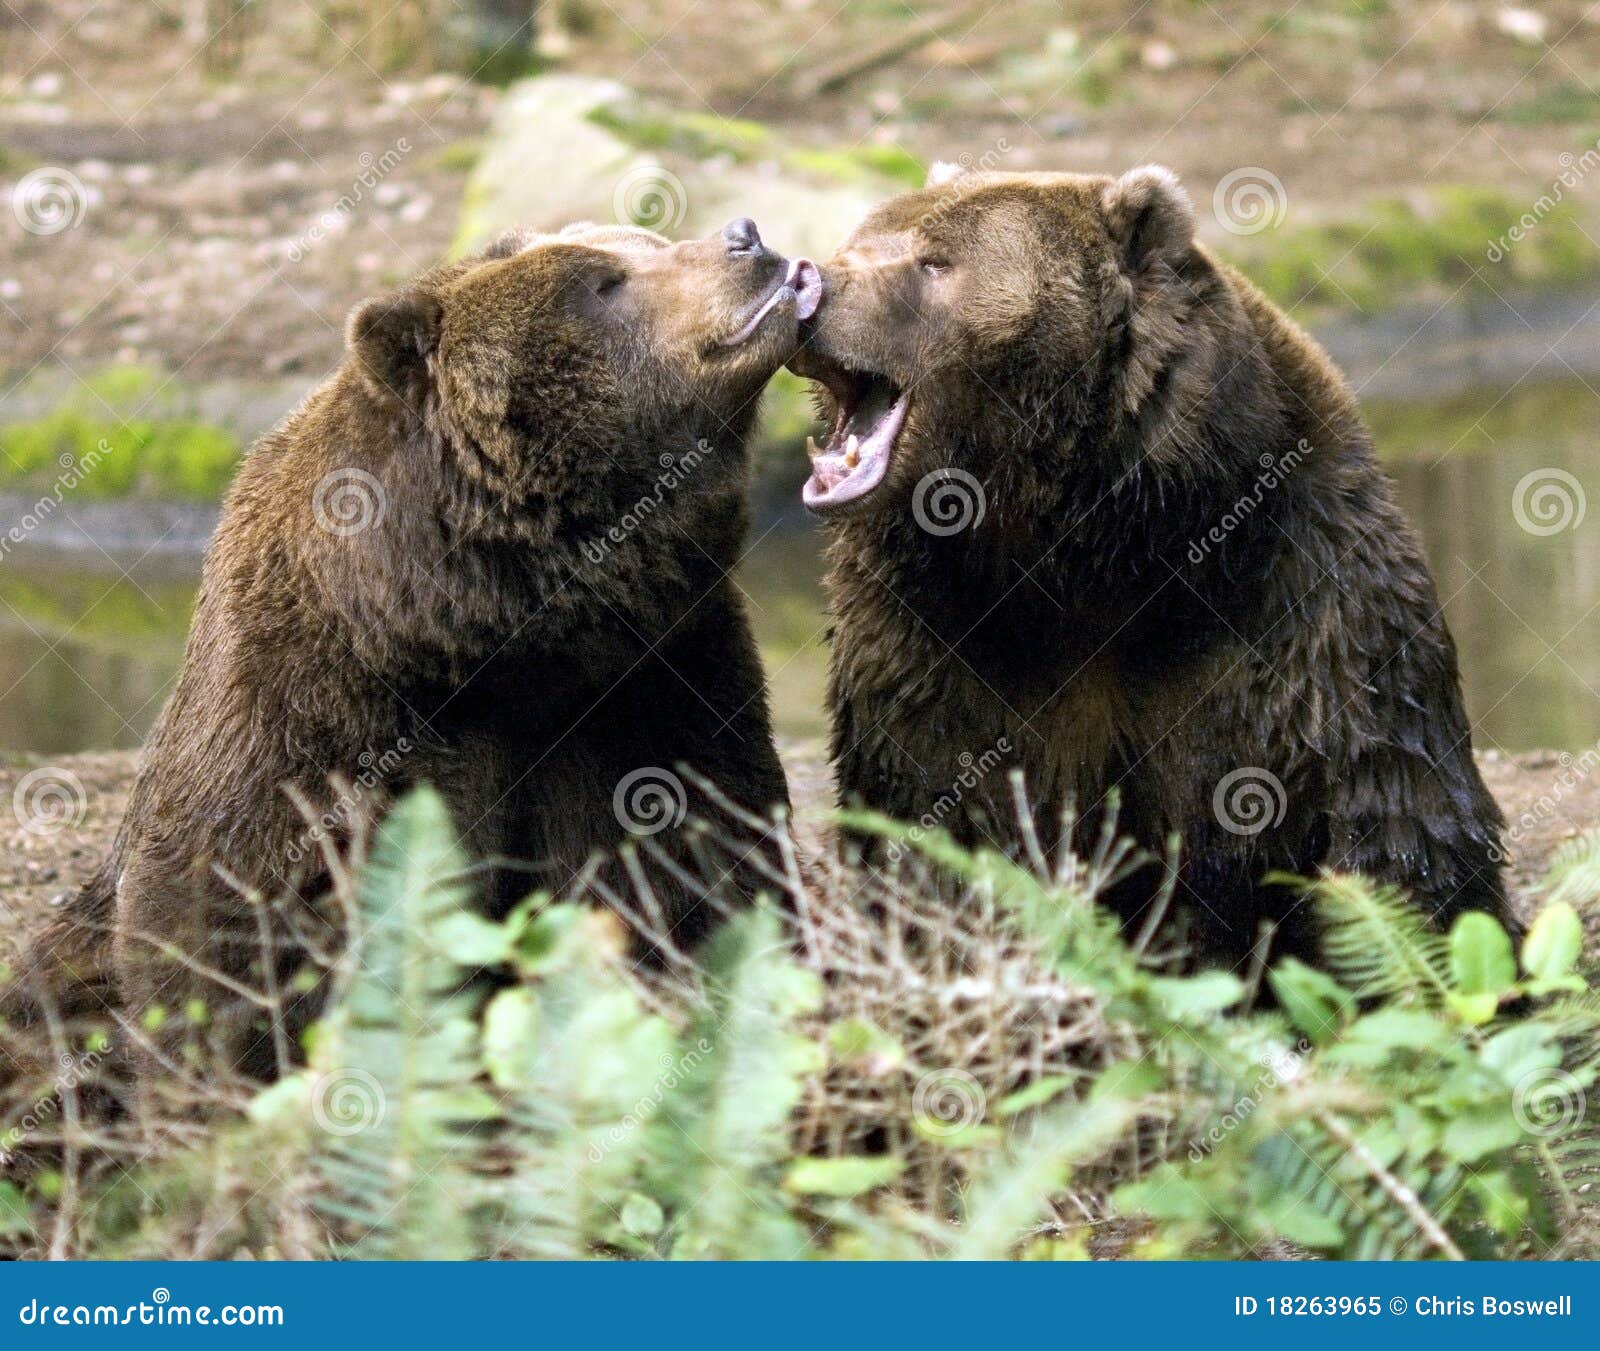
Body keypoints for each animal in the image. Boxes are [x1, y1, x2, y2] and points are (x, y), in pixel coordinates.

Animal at [7, 217, 821, 1085]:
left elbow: (699, 859)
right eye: (604, 283)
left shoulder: (653, 681)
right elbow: (236, 911)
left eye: (647, 238)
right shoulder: (314, 713)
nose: (746, 238)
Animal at [790, 164, 1505, 967]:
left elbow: (1388, 815)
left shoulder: (1298, 598)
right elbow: (932, 806)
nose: (808, 282)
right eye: (863, 236)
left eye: (933, 262)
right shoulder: (929, 628)